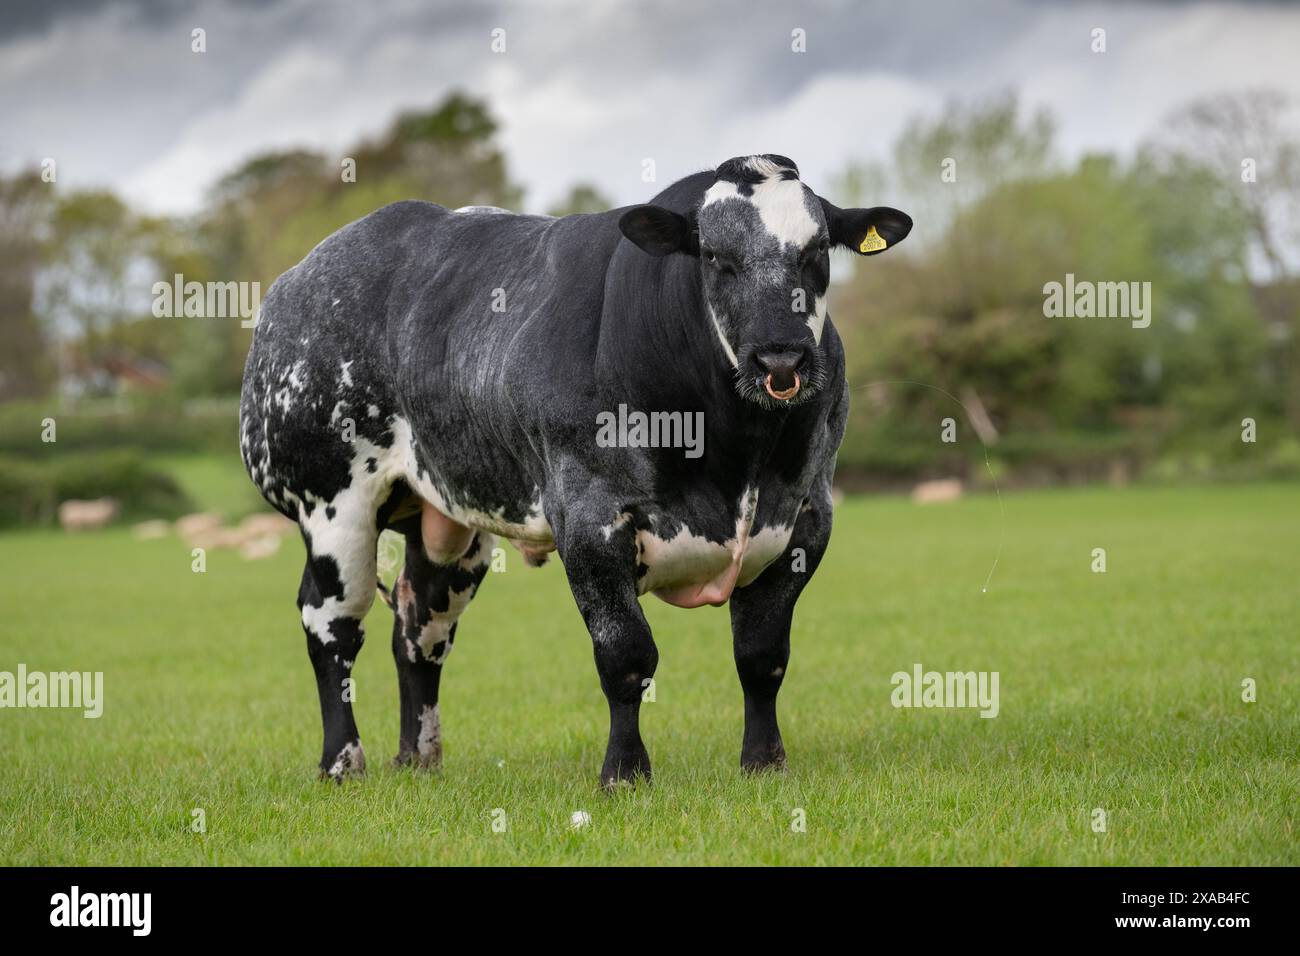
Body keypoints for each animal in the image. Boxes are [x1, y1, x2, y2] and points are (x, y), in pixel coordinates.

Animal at [239, 154, 911, 786]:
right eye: (716, 257)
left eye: (816, 250)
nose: (781, 358)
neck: (731, 450)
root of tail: (299, 279)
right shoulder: (589, 518)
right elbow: (625, 656)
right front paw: (624, 773)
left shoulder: (805, 515)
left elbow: (761, 655)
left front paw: (765, 763)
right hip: (332, 502)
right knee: (332, 626)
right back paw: (342, 763)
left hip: (450, 526)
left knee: (419, 629)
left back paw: (418, 759)